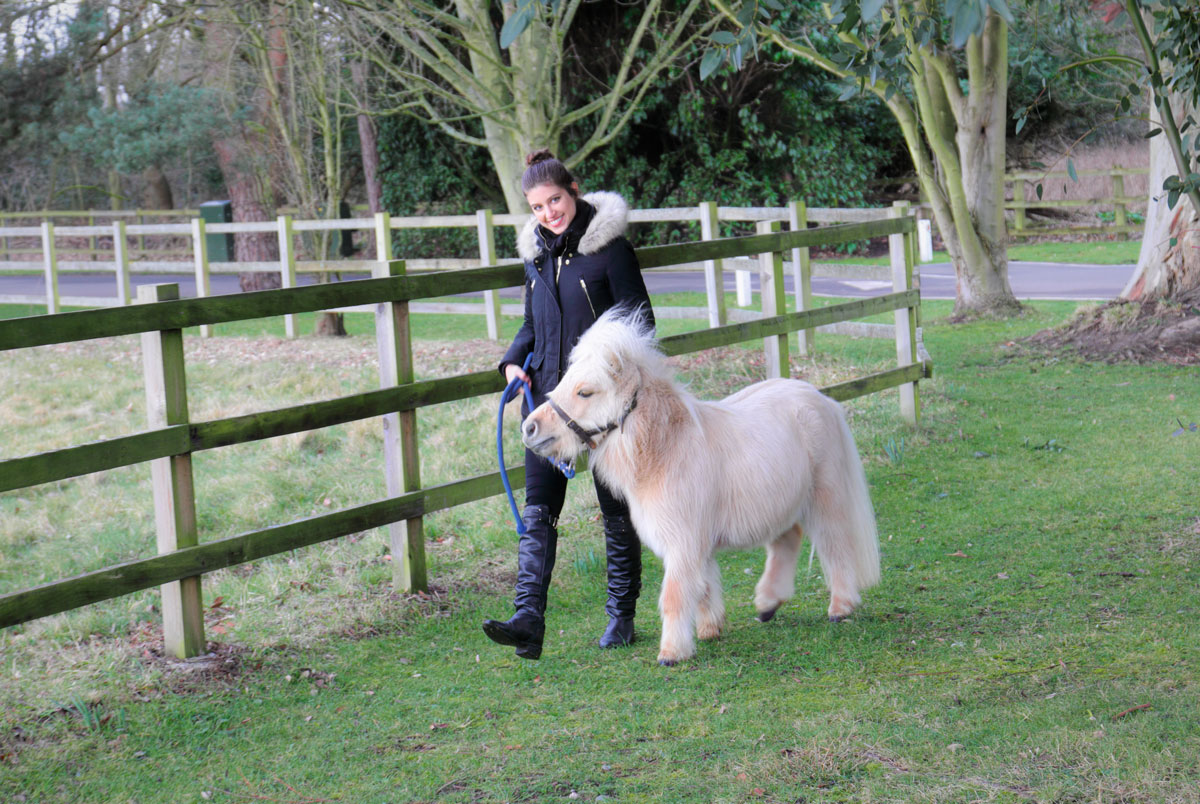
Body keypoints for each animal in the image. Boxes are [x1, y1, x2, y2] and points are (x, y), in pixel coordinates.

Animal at [520, 309, 881, 665]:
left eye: (585, 392)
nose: (529, 427)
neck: (666, 448)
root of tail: (821, 399)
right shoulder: (695, 541)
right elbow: (703, 585)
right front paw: (710, 629)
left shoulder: (684, 541)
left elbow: (675, 595)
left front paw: (671, 653)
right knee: (788, 540)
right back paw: (767, 604)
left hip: (825, 497)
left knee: (836, 546)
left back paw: (840, 607)